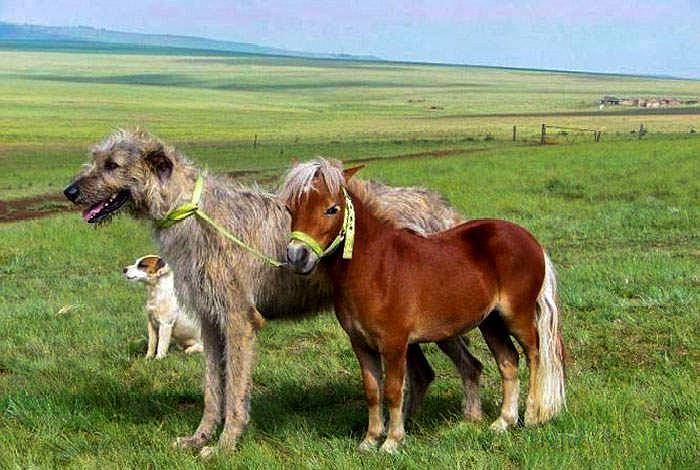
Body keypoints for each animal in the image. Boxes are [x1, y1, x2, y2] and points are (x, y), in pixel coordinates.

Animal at [280, 159, 565, 453]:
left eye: (332, 209)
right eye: (290, 208)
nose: (297, 256)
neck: (375, 267)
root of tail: (529, 239)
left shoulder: (394, 344)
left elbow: (393, 390)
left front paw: (392, 442)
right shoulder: (361, 344)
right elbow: (372, 391)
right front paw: (369, 441)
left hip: (516, 316)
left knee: (535, 354)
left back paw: (531, 416)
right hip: (491, 322)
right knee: (508, 361)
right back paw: (503, 422)